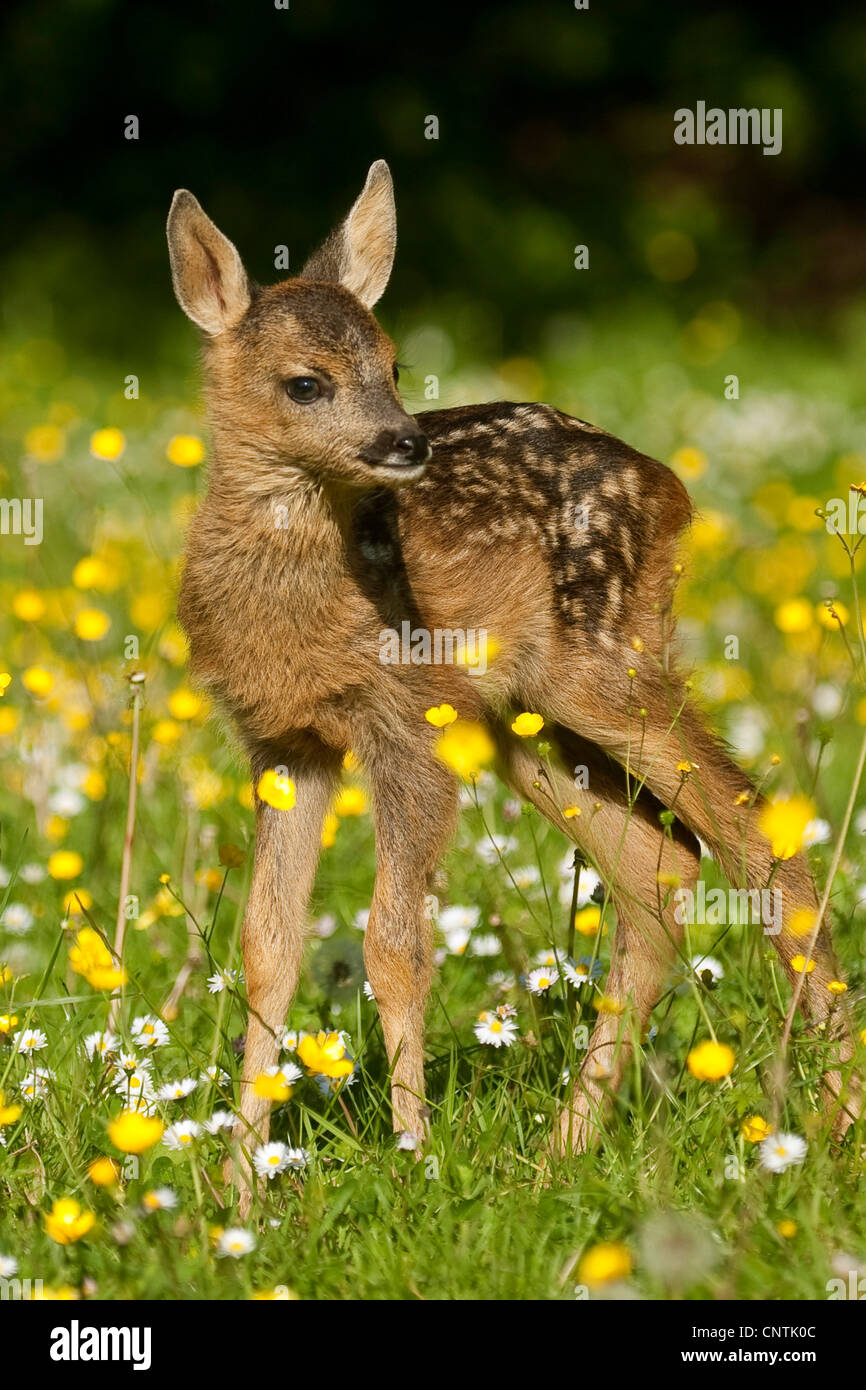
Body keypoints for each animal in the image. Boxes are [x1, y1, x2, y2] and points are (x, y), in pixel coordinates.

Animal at [167, 160, 858, 1215]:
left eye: (395, 364)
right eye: (305, 382)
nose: (403, 444)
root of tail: (671, 489)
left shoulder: (405, 718)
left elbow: (394, 946)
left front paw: (411, 1156)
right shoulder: (284, 741)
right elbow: (267, 949)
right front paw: (240, 1195)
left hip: (600, 661)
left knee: (755, 831)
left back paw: (832, 1116)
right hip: (520, 722)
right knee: (661, 868)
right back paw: (561, 1153)